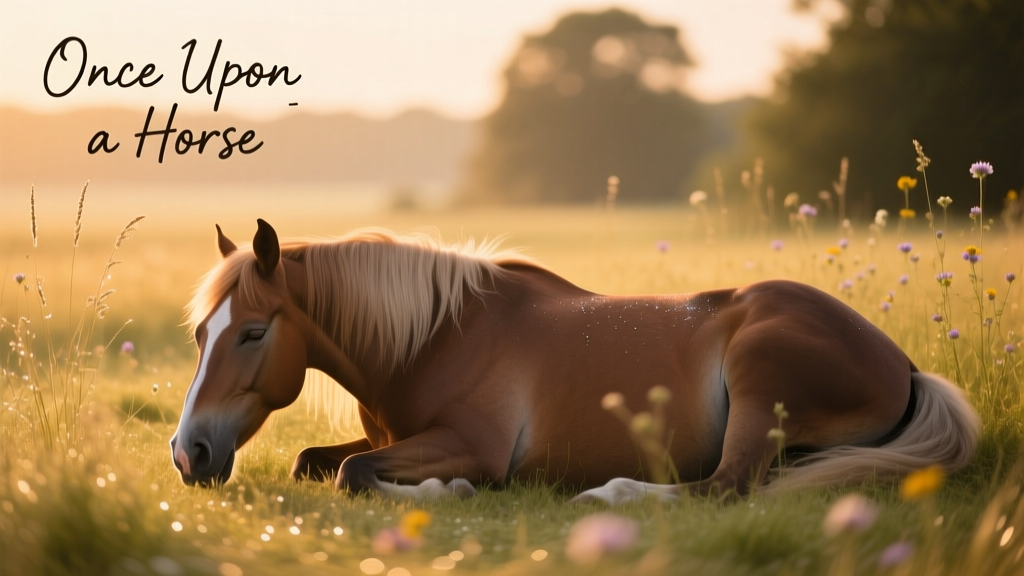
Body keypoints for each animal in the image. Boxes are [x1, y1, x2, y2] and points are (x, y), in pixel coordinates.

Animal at [170, 219, 979, 503]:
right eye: (203, 332)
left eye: (251, 333)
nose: (189, 453)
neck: (439, 337)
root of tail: (903, 364)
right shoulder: (390, 436)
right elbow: (314, 459)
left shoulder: (472, 444)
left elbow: (352, 473)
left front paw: (450, 492)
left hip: (758, 384)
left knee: (722, 488)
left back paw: (609, 495)